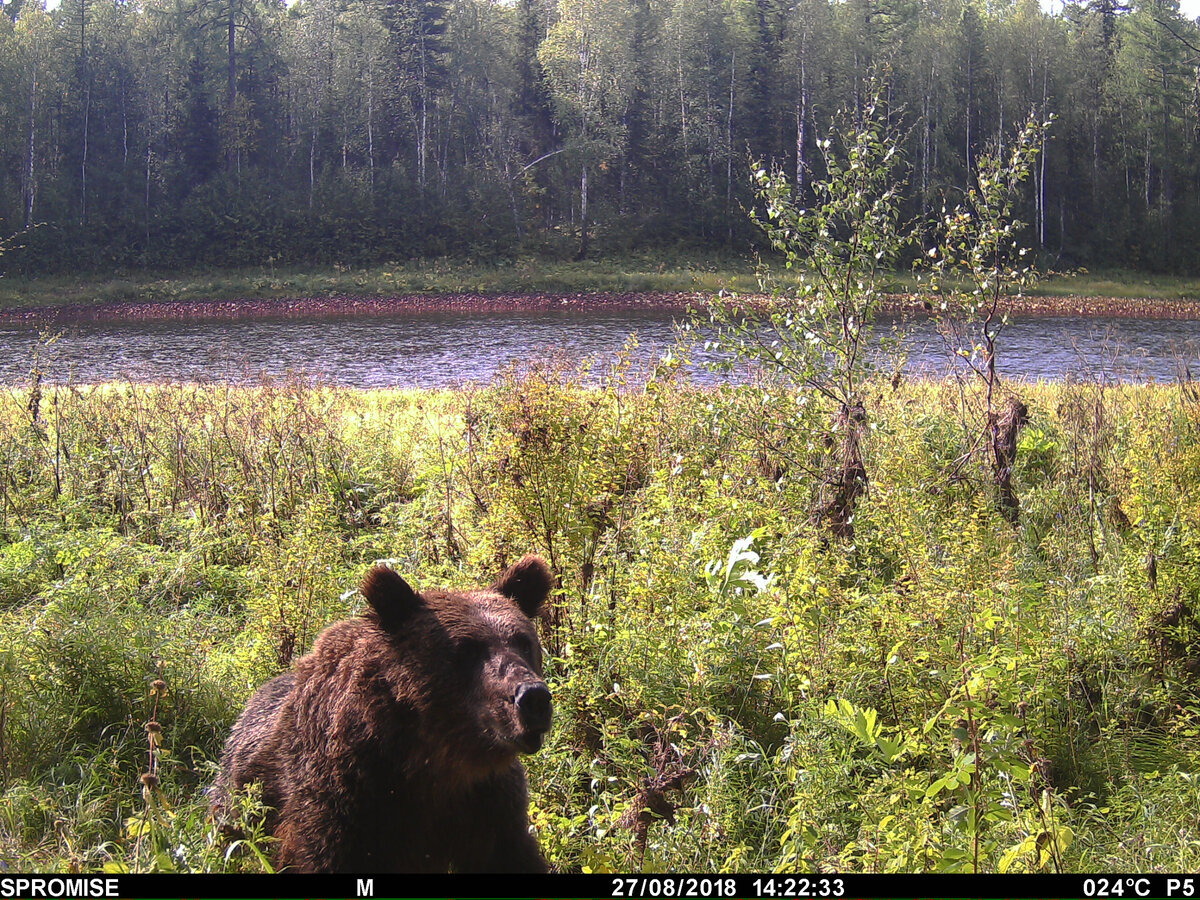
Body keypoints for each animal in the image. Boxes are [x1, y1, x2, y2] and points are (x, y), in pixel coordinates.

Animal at [213, 556, 554, 873]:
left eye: (523, 642)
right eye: (466, 649)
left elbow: (511, 856)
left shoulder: (489, 808)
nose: (533, 697)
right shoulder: (344, 804)